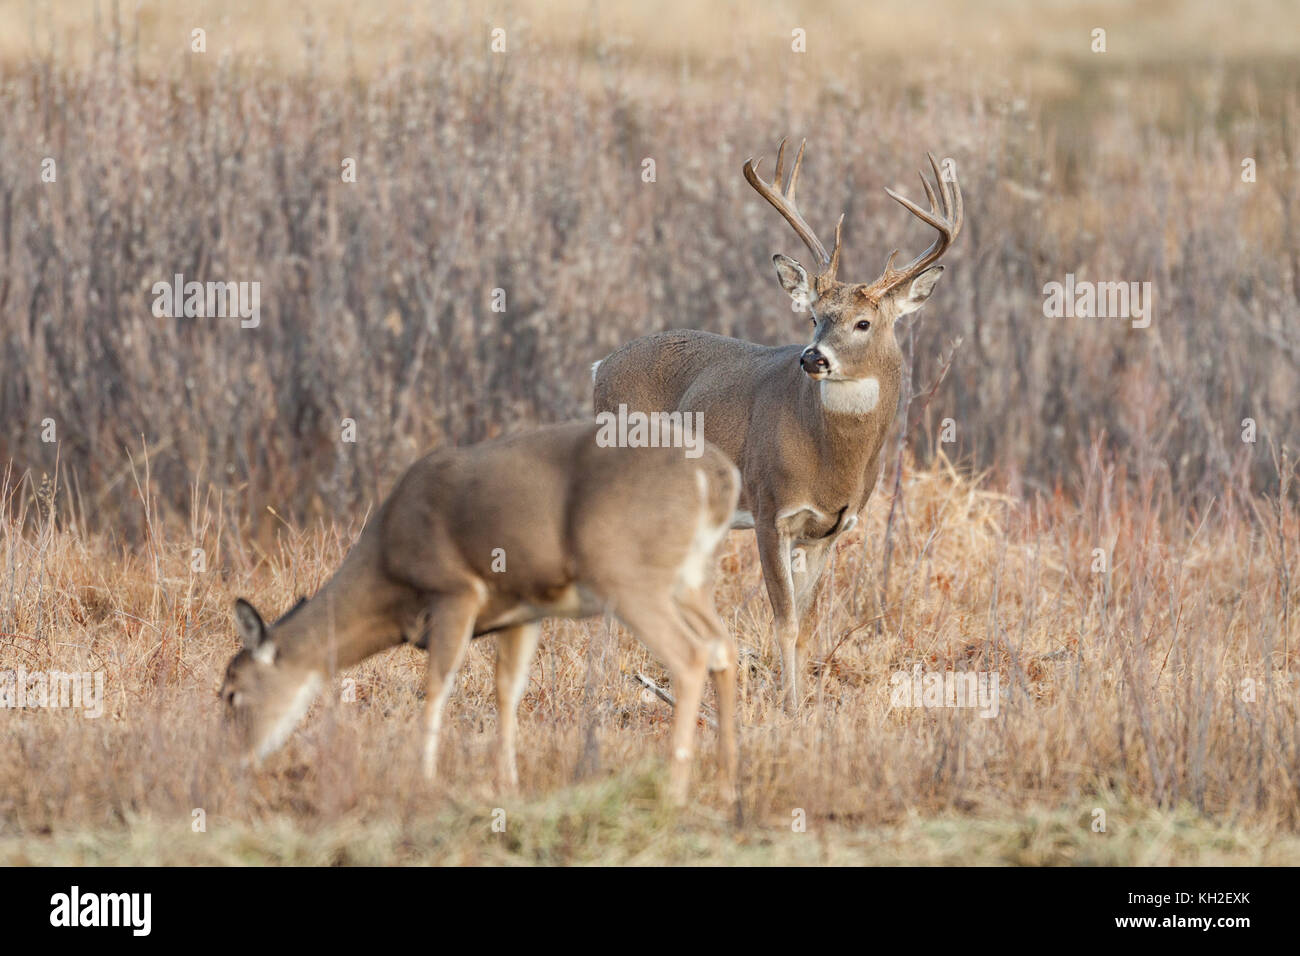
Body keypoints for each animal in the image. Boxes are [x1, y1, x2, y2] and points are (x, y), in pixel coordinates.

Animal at [219, 421, 741, 805]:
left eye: (231, 693)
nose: (235, 762)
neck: (387, 568)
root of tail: (719, 476)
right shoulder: (524, 611)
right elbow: (507, 690)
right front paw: (506, 784)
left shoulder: (455, 590)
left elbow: (437, 685)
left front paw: (424, 781)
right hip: (693, 578)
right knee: (724, 648)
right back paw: (725, 786)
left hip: (629, 572)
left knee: (690, 655)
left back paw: (674, 793)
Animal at [593, 139, 962, 712]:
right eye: (814, 316)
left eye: (864, 322)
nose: (812, 357)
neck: (831, 462)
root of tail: (600, 366)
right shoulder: (771, 509)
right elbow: (784, 621)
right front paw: (788, 706)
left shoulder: (832, 528)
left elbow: (806, 625)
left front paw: (802, 702)